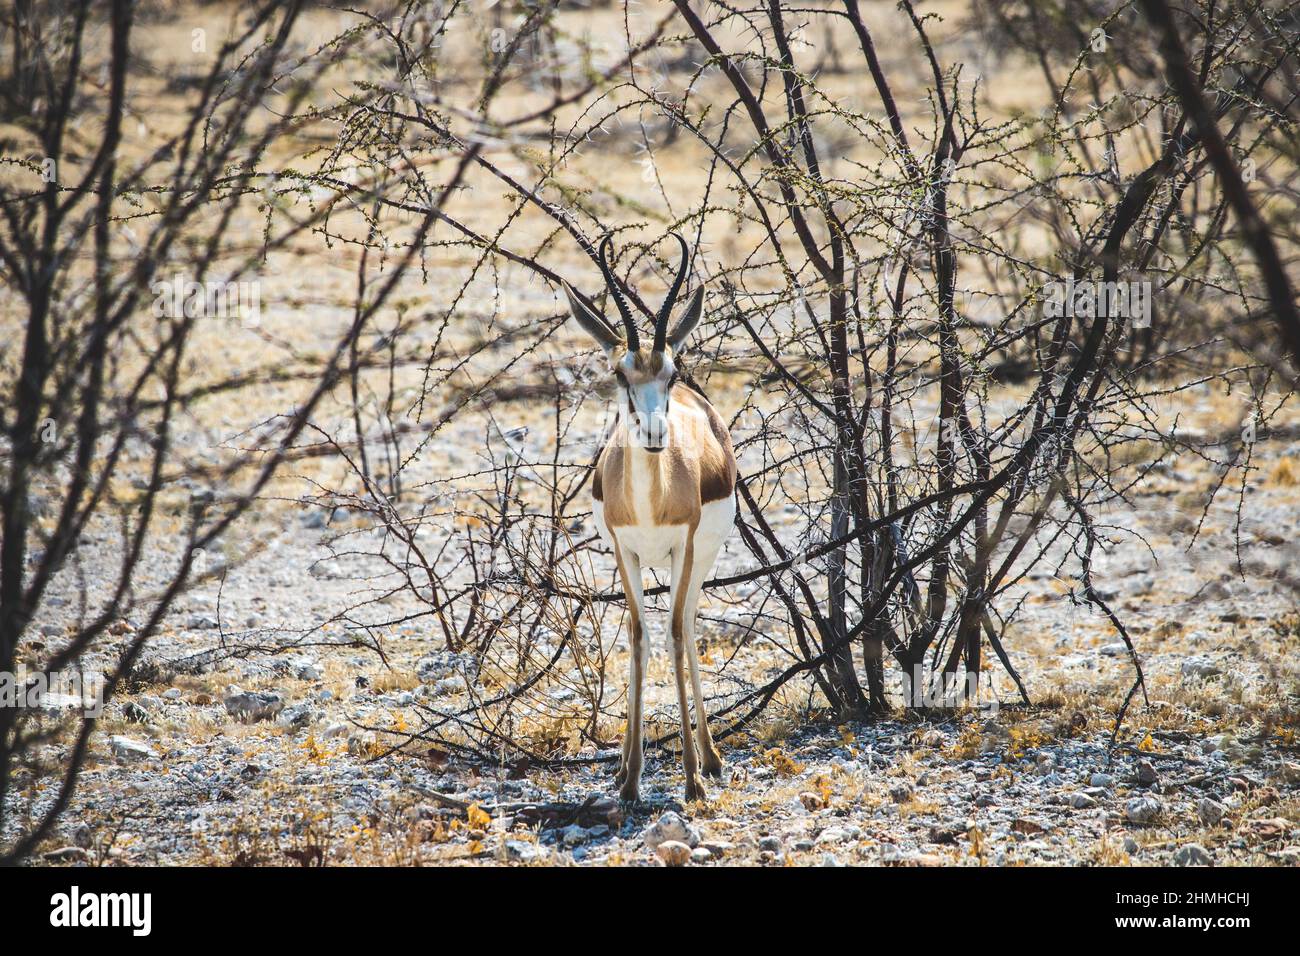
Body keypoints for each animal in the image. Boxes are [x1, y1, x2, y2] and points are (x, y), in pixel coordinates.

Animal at [562, 233, 736, 802]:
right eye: (620, 373)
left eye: (671, 371)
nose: (657, 434)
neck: (648, 501)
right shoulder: (625, 550)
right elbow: (638, 637)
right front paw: (631, 777)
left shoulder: (683, 546)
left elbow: (676, 637)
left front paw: (692, 779)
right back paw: (624, 767)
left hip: (703, 558)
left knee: (687, 621)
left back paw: (710, 758)